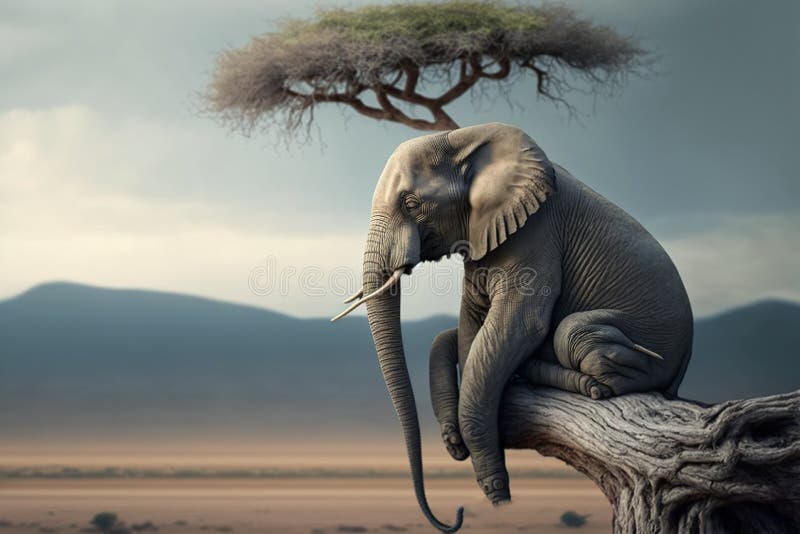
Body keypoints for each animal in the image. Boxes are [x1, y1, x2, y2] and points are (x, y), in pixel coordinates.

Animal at [331, 123, 693, 533]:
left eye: (411, 204)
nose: (464, 511)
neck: (464, 140)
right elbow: (470, 324)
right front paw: (460, 443)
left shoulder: (537, 233)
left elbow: (521, 323)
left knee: (574, 335)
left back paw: (573, 381)